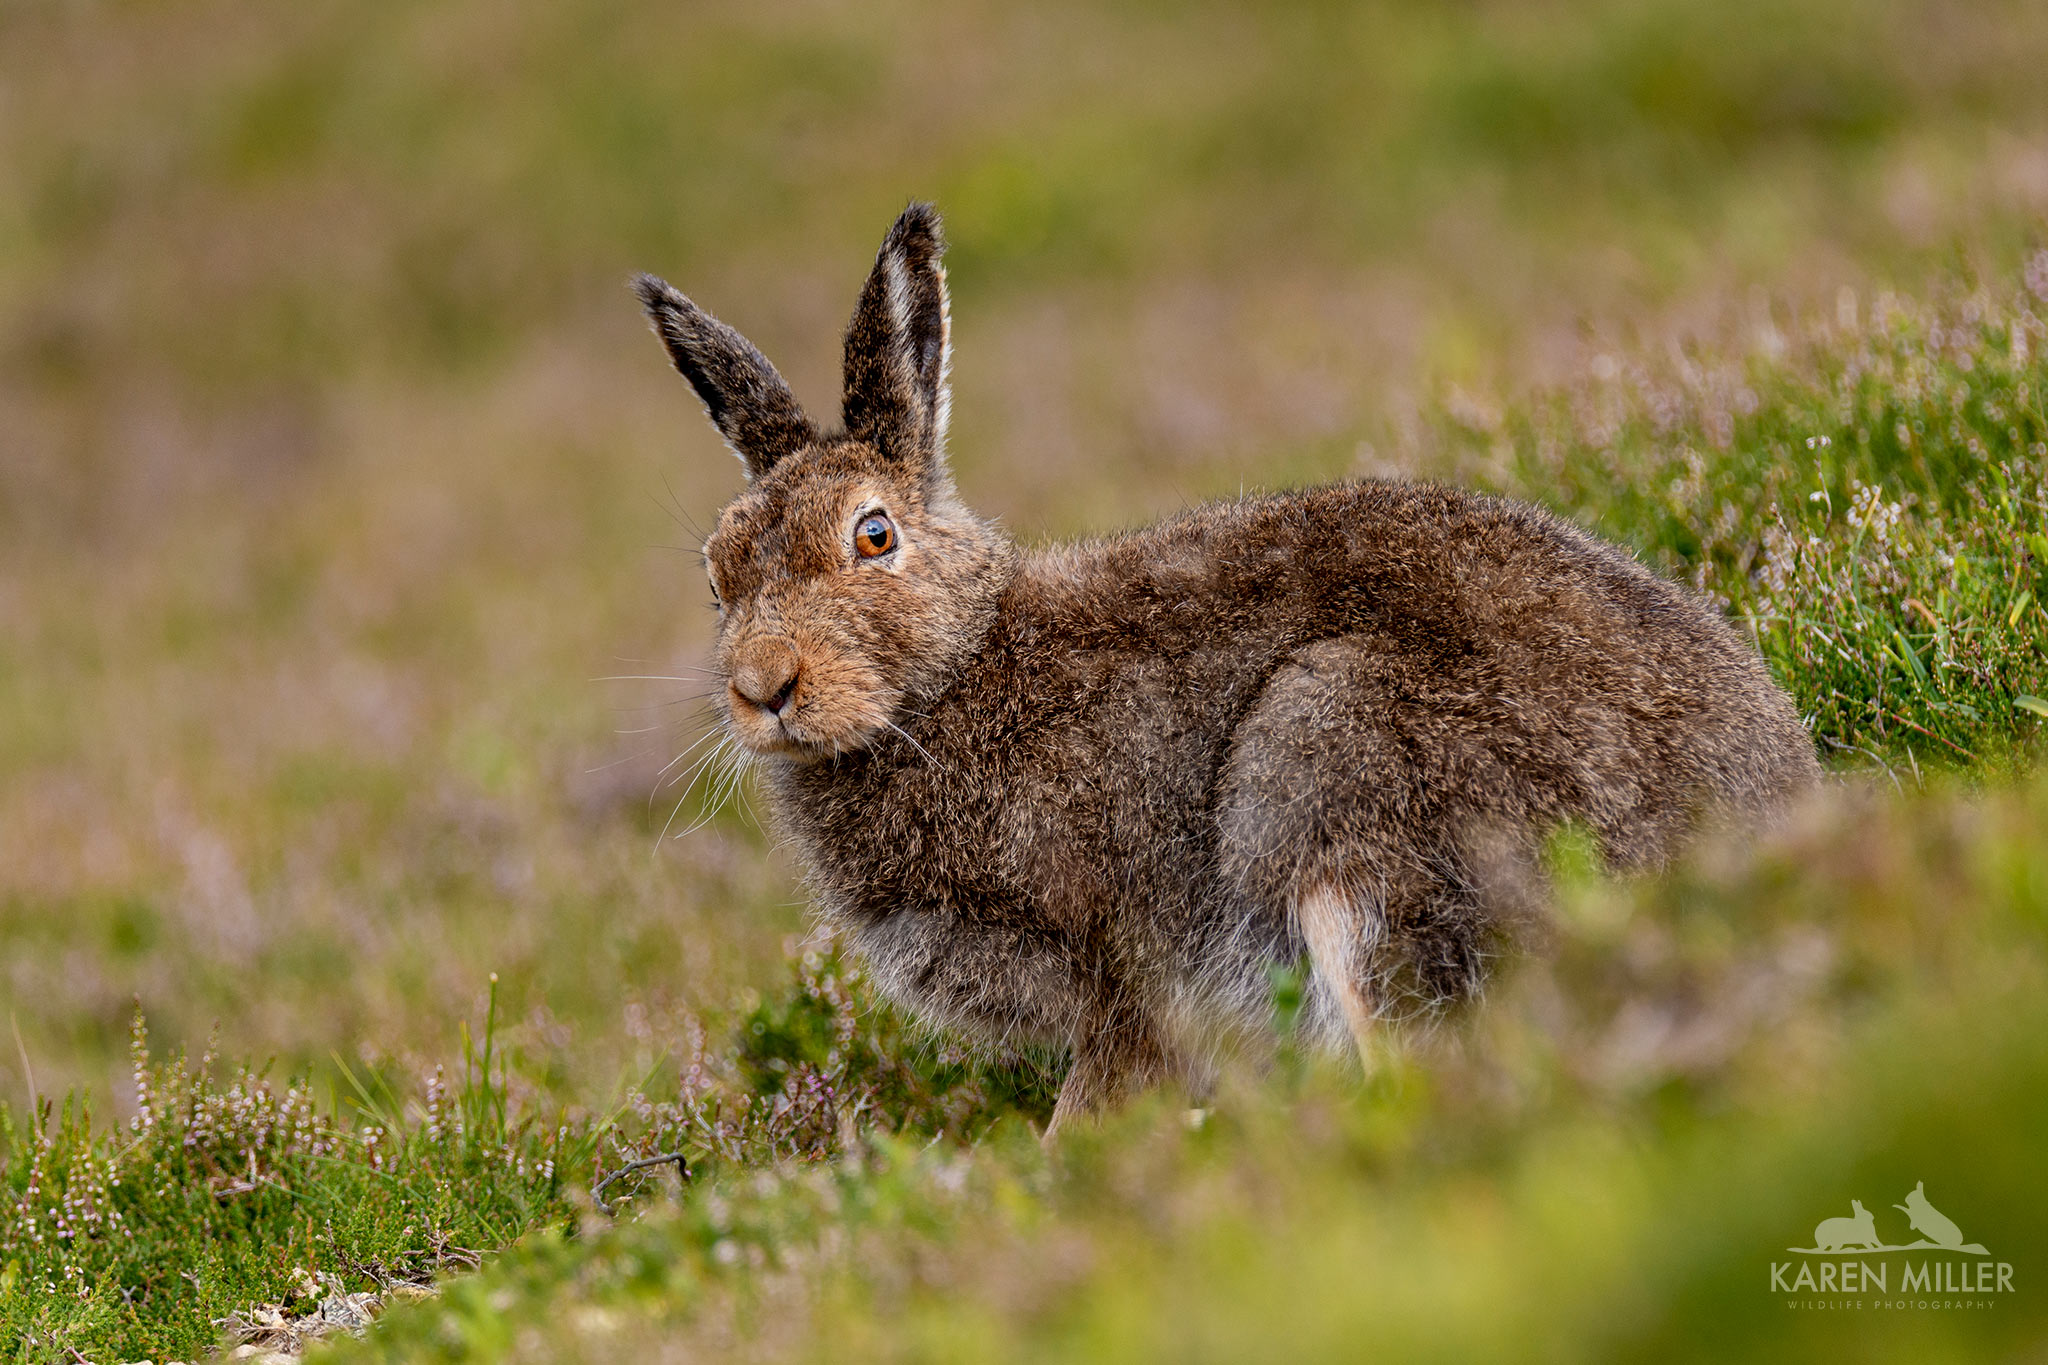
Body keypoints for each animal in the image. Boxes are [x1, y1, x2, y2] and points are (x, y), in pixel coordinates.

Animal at [631, 202, 1821, 1134]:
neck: (956, 672)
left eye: (873, 536)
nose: (763, 690)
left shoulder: (1120, 967)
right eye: (716, 572)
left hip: (1330, 772)